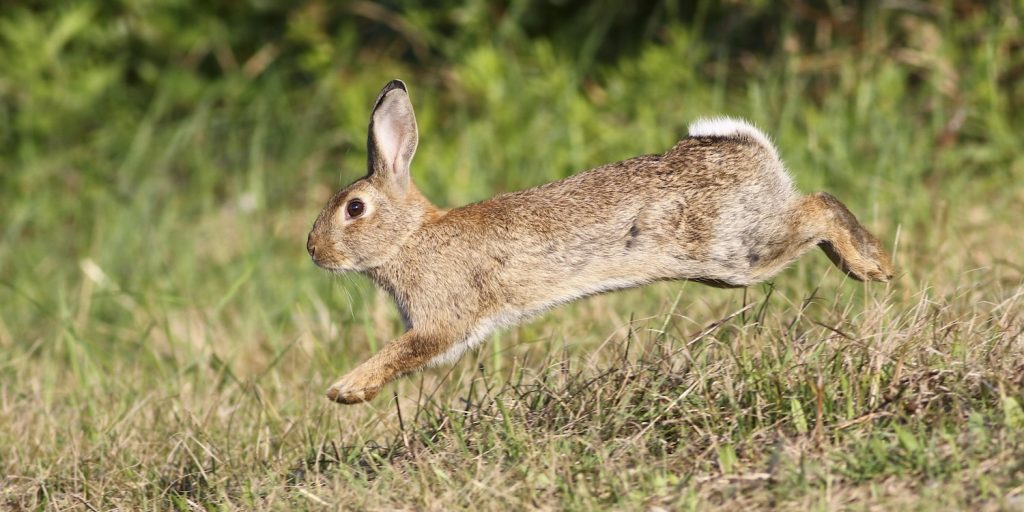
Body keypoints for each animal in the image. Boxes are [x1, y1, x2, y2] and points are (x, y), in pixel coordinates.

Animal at [306, 79, 893, 404]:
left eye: (354, 209)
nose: (314, 251)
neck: (409, 236)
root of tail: (749, 150)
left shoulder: (442, 319)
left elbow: (404, 351)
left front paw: (345, 390)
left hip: (736, 251)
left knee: (818, 207)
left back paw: (871, 266)